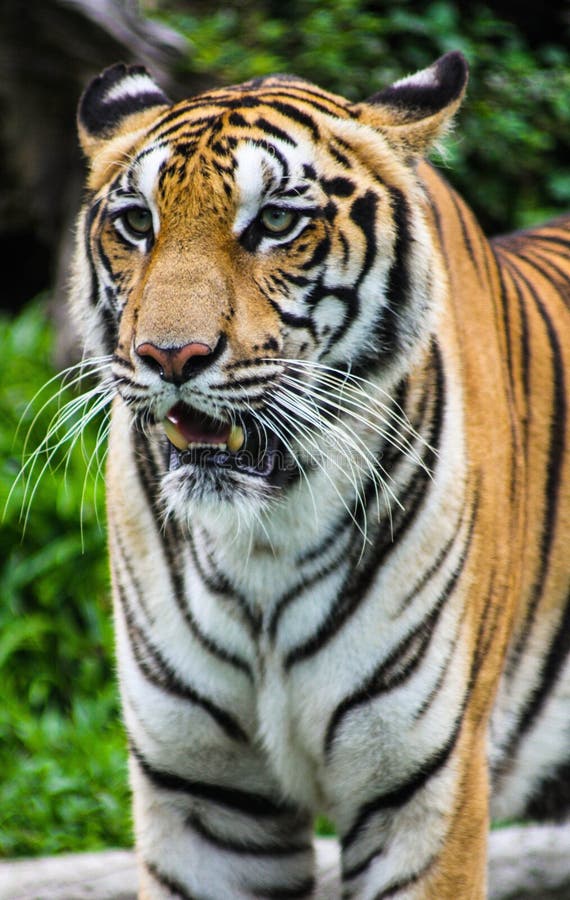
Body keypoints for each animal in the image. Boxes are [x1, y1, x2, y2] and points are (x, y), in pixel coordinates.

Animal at [69, 51, 570, 898]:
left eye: (275, 223)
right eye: (136, 223)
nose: (168, 356)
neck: (259, 541)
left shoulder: (422, 786)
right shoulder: (203, 792)